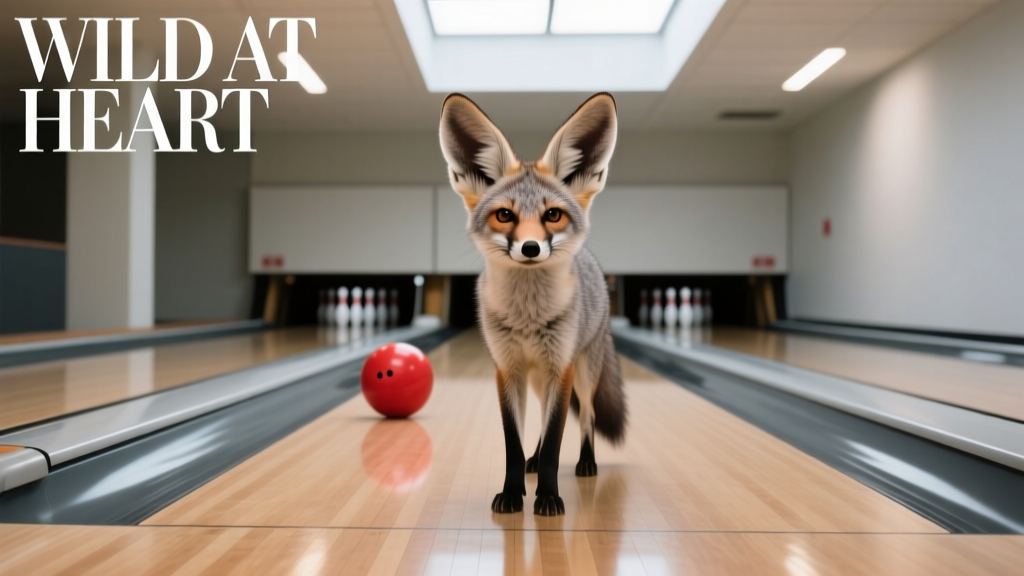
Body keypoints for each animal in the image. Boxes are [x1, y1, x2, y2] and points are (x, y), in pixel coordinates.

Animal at [438, 93, 627, 516]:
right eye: (504, 215)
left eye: (552, 215)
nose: (529, 248)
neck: (527, 317)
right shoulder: (507, 369)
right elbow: (514, 442)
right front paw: (511, 494)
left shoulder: (561, 369)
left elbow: (556, 440)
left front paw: (549, 497)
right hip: (540, 379)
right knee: (541, 425)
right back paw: (533, 462)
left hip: (581, 374)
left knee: (586, 416)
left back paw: (586, 462)